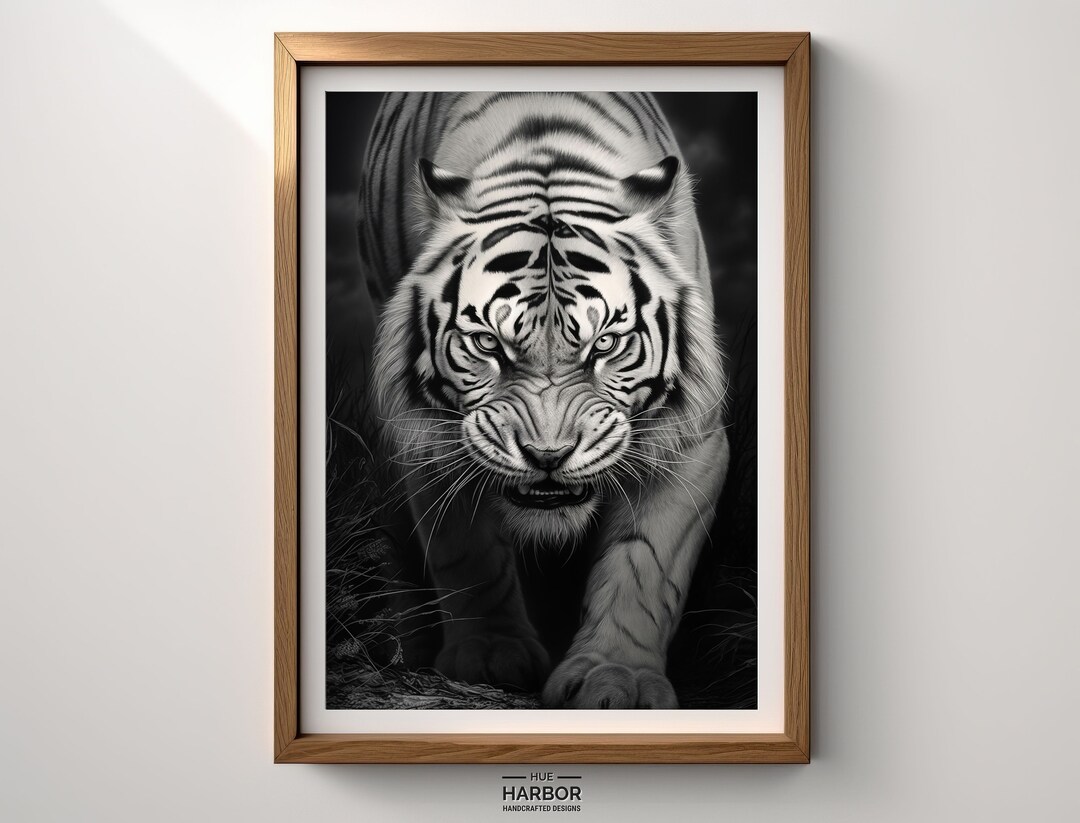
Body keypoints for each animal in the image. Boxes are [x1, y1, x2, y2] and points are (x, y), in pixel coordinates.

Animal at [361, 92, 730, 709]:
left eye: (605, 342)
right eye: (489, 343)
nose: (548, 457)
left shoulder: (692, 441)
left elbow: (646, 563)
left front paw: (617, 677)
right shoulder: (433, 436)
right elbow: (466, 551)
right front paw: (491, 653)